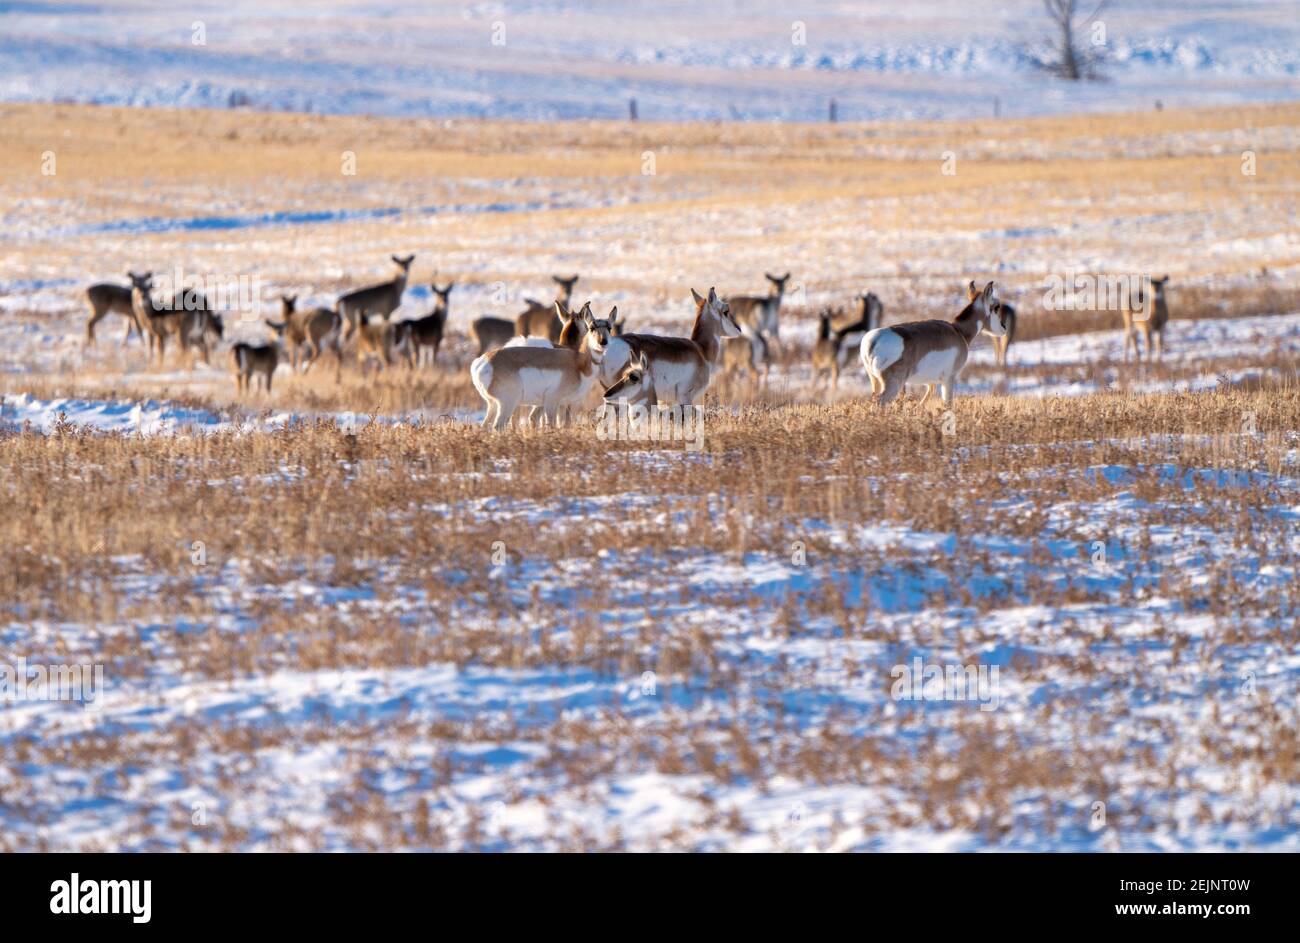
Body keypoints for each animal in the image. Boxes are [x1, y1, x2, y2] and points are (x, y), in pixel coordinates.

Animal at [471, 303, 609, 431]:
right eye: (587, 327)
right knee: (499, 426)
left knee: (486, 425)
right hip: (507, 403)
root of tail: (482, 362)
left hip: (494, 405)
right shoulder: (556, 403)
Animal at [860, 280, 1005, 407]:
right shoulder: (948, 380)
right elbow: (948, 404)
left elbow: (923, 401)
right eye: (996, 307)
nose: (1004, 328)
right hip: (893, 385)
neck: (959, 331)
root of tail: (872, 340)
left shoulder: (931, 383)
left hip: (875, 381)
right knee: (879, 402)